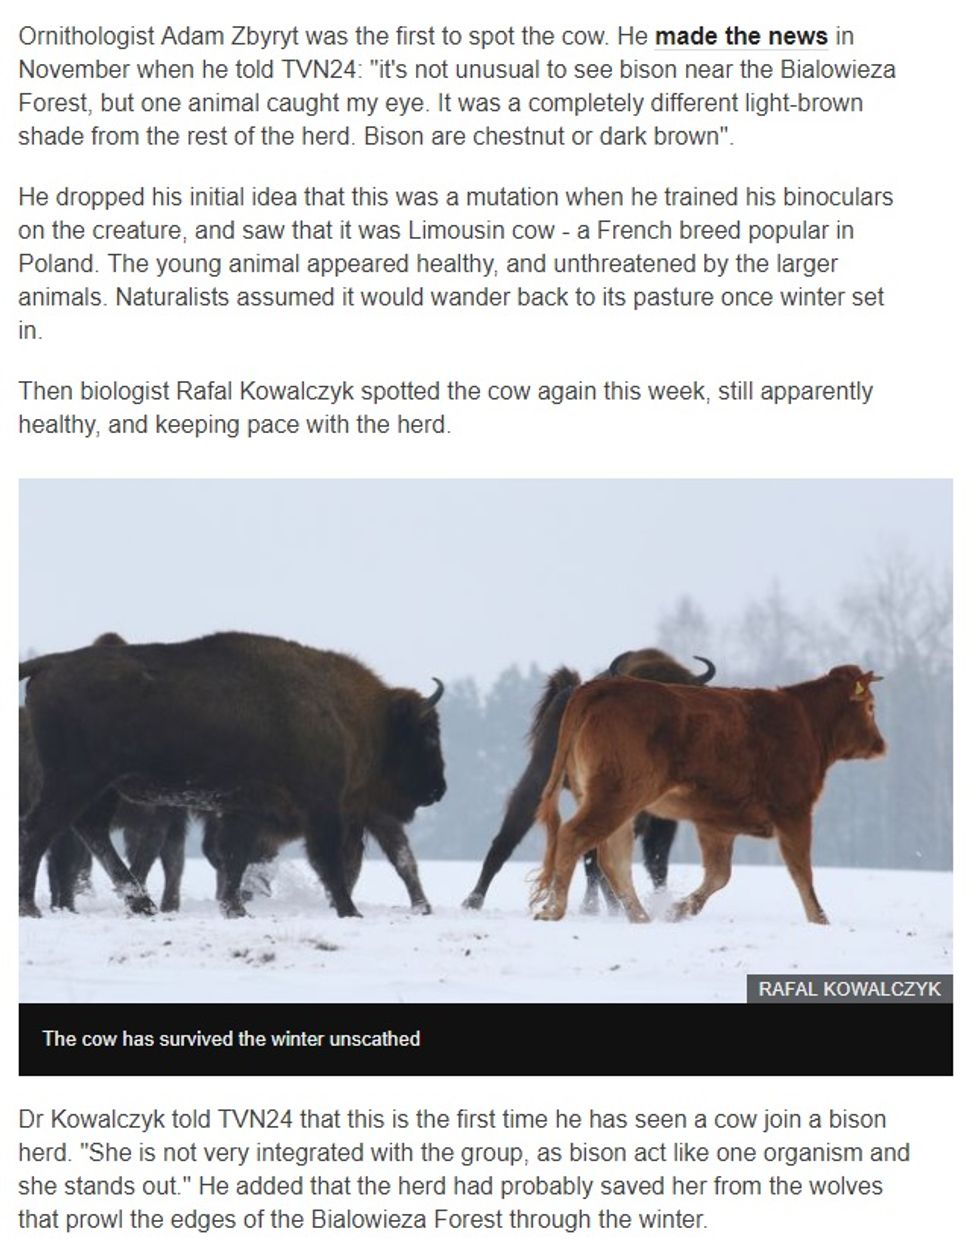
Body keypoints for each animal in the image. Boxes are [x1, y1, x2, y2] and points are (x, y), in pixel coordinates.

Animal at [19, 631, 446, 919]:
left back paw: (143, 904)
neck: (347, 711)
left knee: (88, 831)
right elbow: (326, 860)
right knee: (40, 831)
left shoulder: (247, 809)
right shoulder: (320, 807)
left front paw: (236, 909)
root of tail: (52, 662)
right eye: (428, 734)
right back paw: (30, 907)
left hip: (101, 787)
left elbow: (235, 858)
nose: (439, 789)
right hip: (75, 782)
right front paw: (349, 911)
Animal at [532, 665, 886, 925]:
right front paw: (820, 919)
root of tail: (598, 687)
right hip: (614, 796)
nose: (881, 745)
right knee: (573, 837)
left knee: (612, 857)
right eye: (870, 707)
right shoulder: (793, 810)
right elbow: (801, 871)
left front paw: (679, 909)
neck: (806, 722)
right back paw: (553, 909)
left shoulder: (716, 824)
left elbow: (719, 875)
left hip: (618, 802)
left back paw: (641, 917)